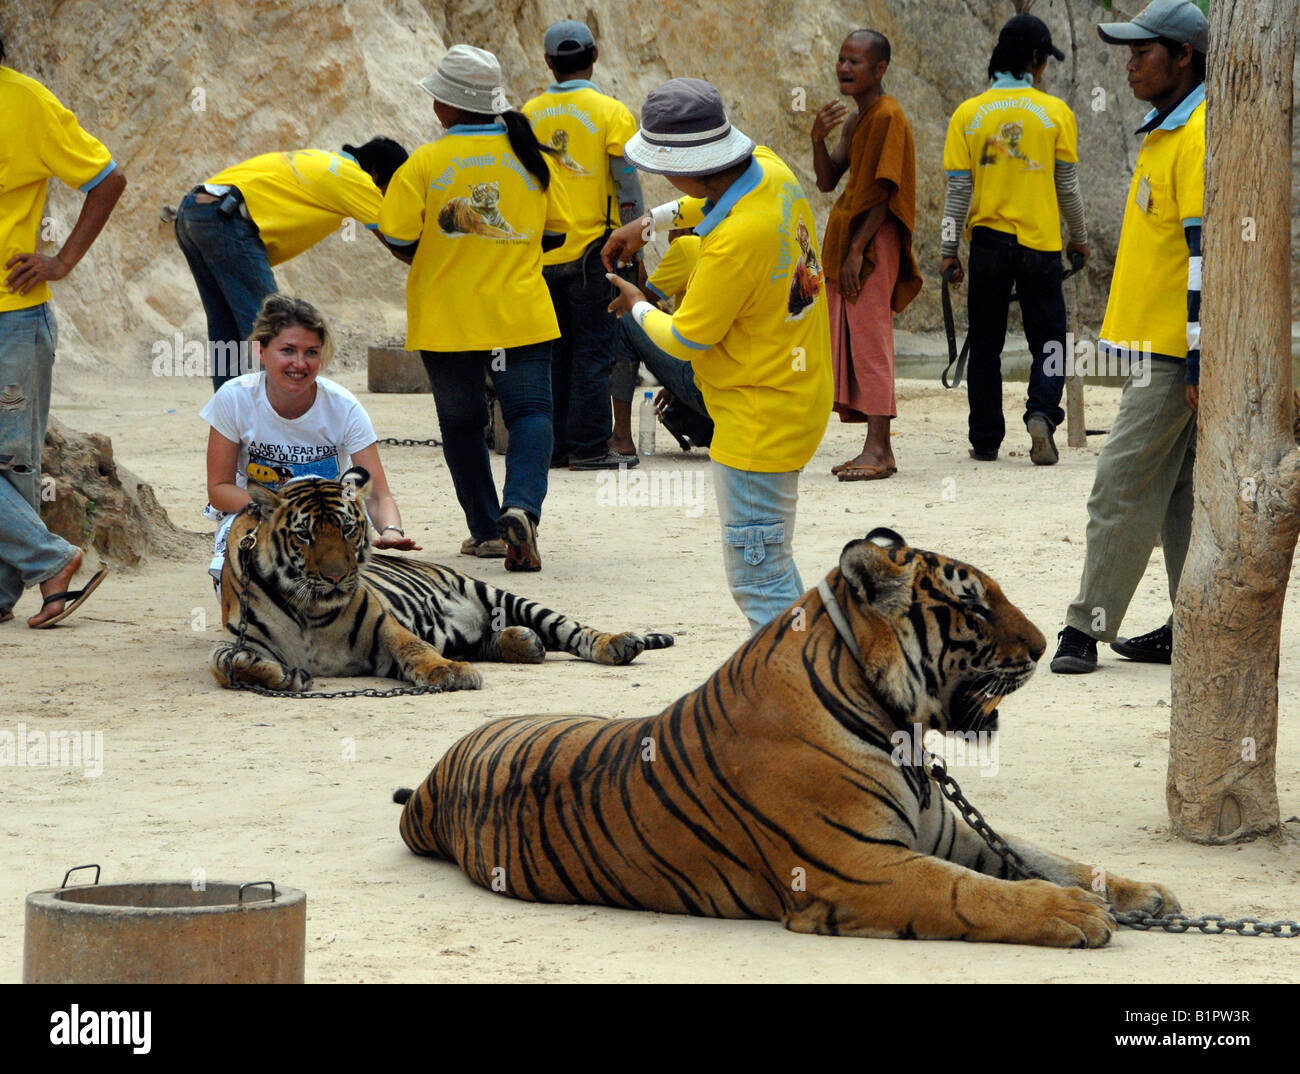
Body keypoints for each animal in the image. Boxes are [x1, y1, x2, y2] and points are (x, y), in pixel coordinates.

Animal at [210, 467, 672, 692]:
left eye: (347, 529)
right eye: (304, 534)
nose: (338, 577)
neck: (312, 611)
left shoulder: (385, 628)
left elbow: (417, 649)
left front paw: (449, 673)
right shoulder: (241, 638)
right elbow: (226, 664)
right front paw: (283, 677)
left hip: (495, 594)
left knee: (572, 629)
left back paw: (617, 644)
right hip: (469, 627)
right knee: (489, 640)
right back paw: (524, 642)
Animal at [394, 528, 1179, 947]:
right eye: (973, 604)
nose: (1047, 646)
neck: (899, 727)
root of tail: (442, 766)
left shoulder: (947, 833)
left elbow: (1049, 857)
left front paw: (1141, 894)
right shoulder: (859, 866)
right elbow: (973, 893)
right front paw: (1073, 913)